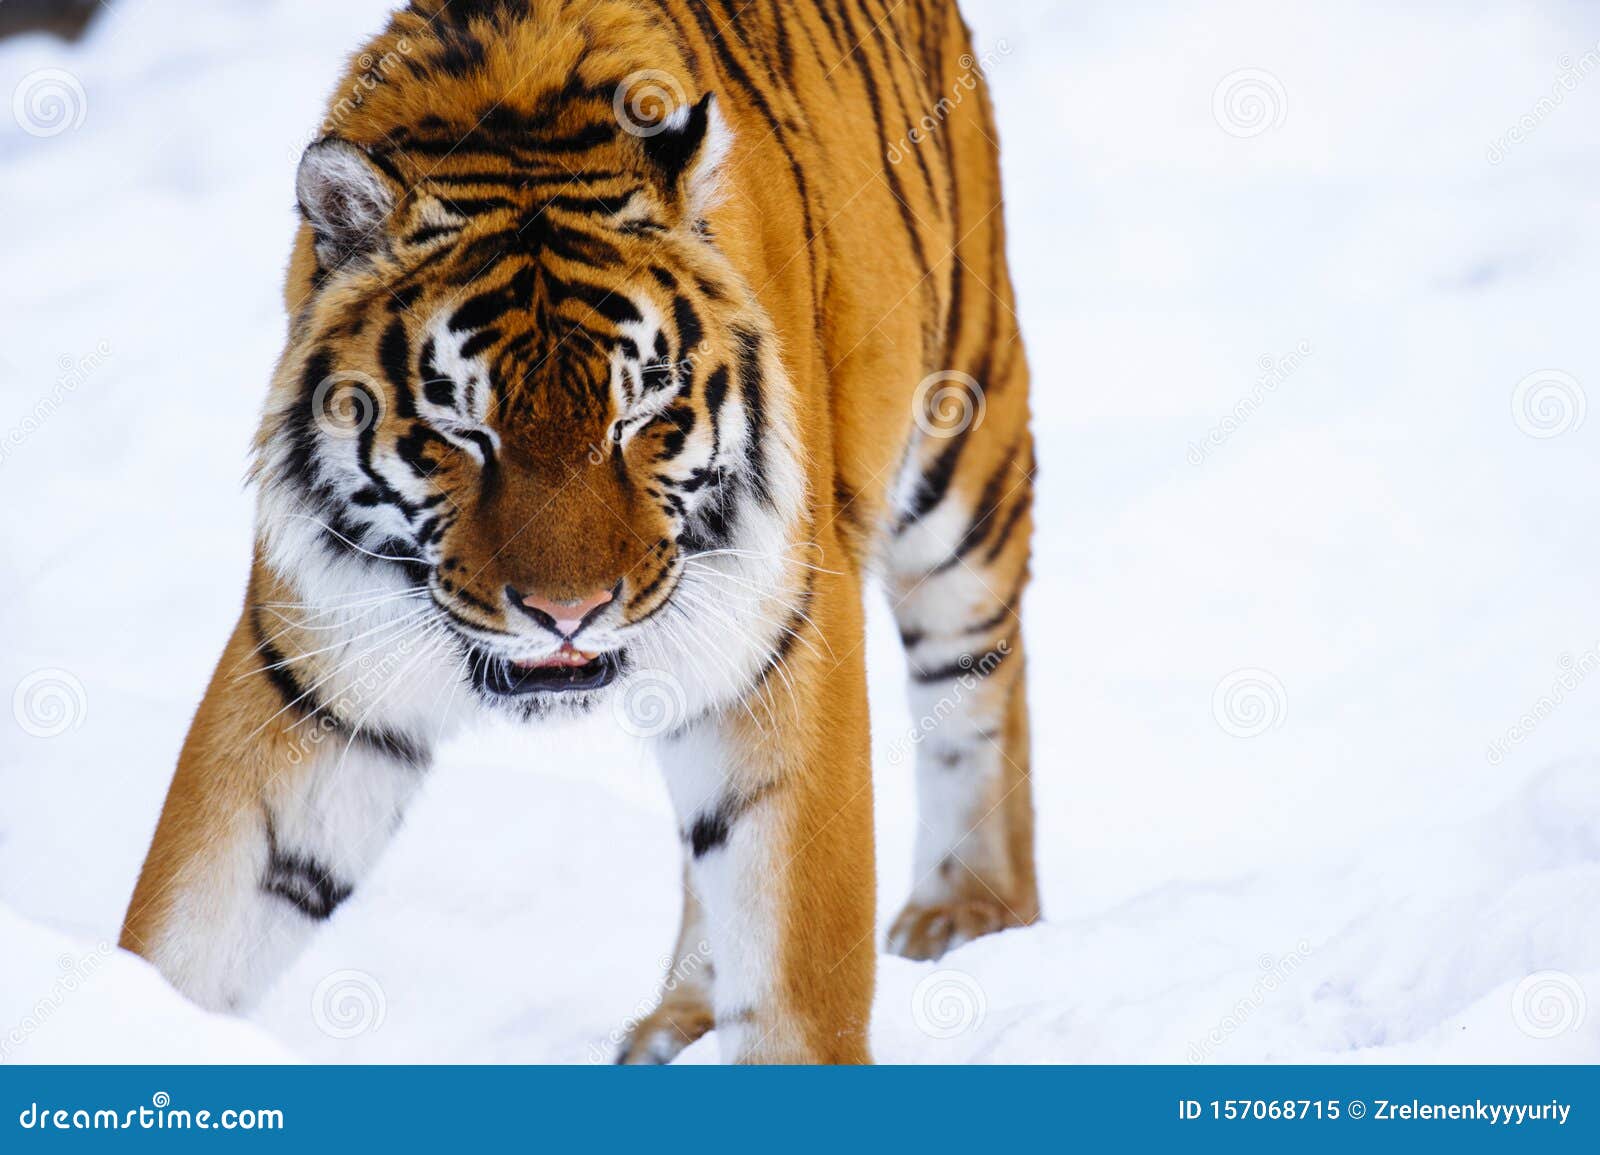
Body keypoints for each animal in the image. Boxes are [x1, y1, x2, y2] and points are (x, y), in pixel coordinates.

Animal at [120, 0, 1037, 1065]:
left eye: (638, 419)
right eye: (460, 431)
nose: (570, 612)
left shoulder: (784, 636)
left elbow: (798, 964)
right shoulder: (312, 665)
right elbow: (201, 904)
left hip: (962, 448)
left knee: (980, 676)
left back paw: (969, 911)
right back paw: (679, 1022)